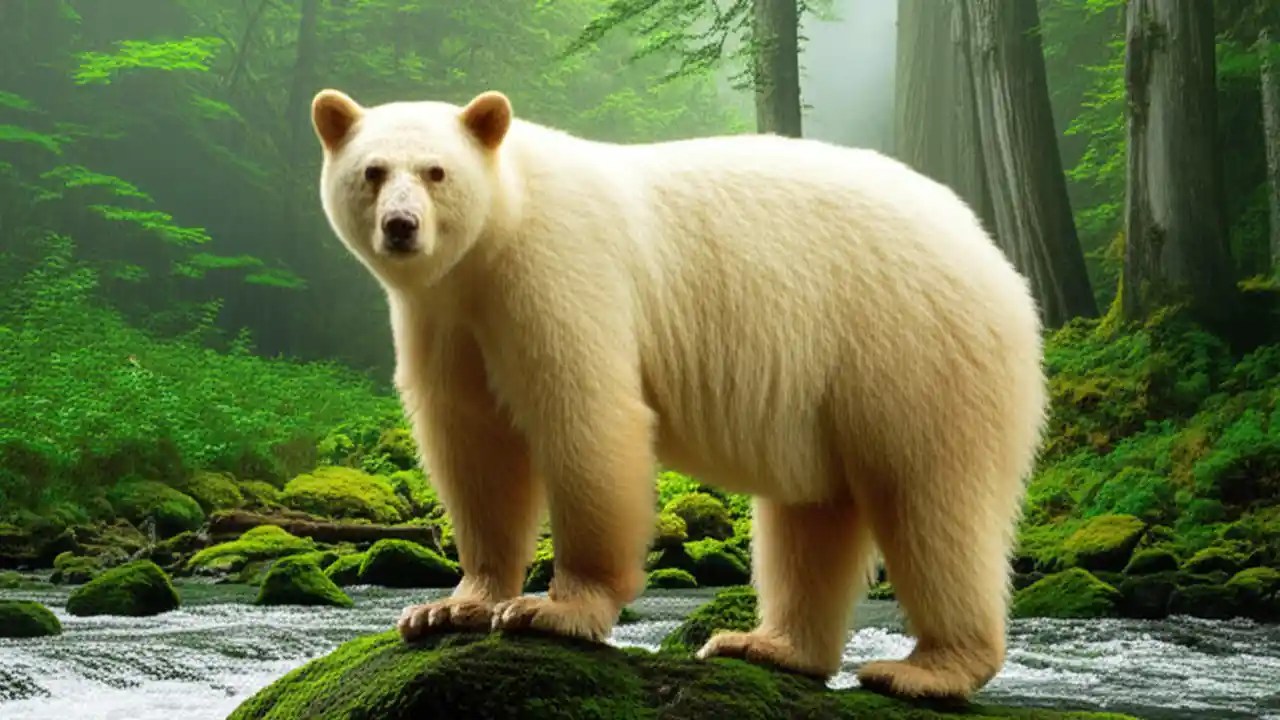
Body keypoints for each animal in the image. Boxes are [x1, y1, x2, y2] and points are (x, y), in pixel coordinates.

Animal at [308, 87, 1047, 702]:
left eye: (436, 172)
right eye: (372, 171)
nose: (402, 225)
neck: (498, 234)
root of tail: (996, 258)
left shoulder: (556, 273)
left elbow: (587, 417)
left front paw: (553, 610)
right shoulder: (446, 317)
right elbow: (474, 446)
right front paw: (448, 606)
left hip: (914, 346)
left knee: (933, 503)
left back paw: (924, 669)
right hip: (832, 385)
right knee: (812, 516)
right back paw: (765, 645)